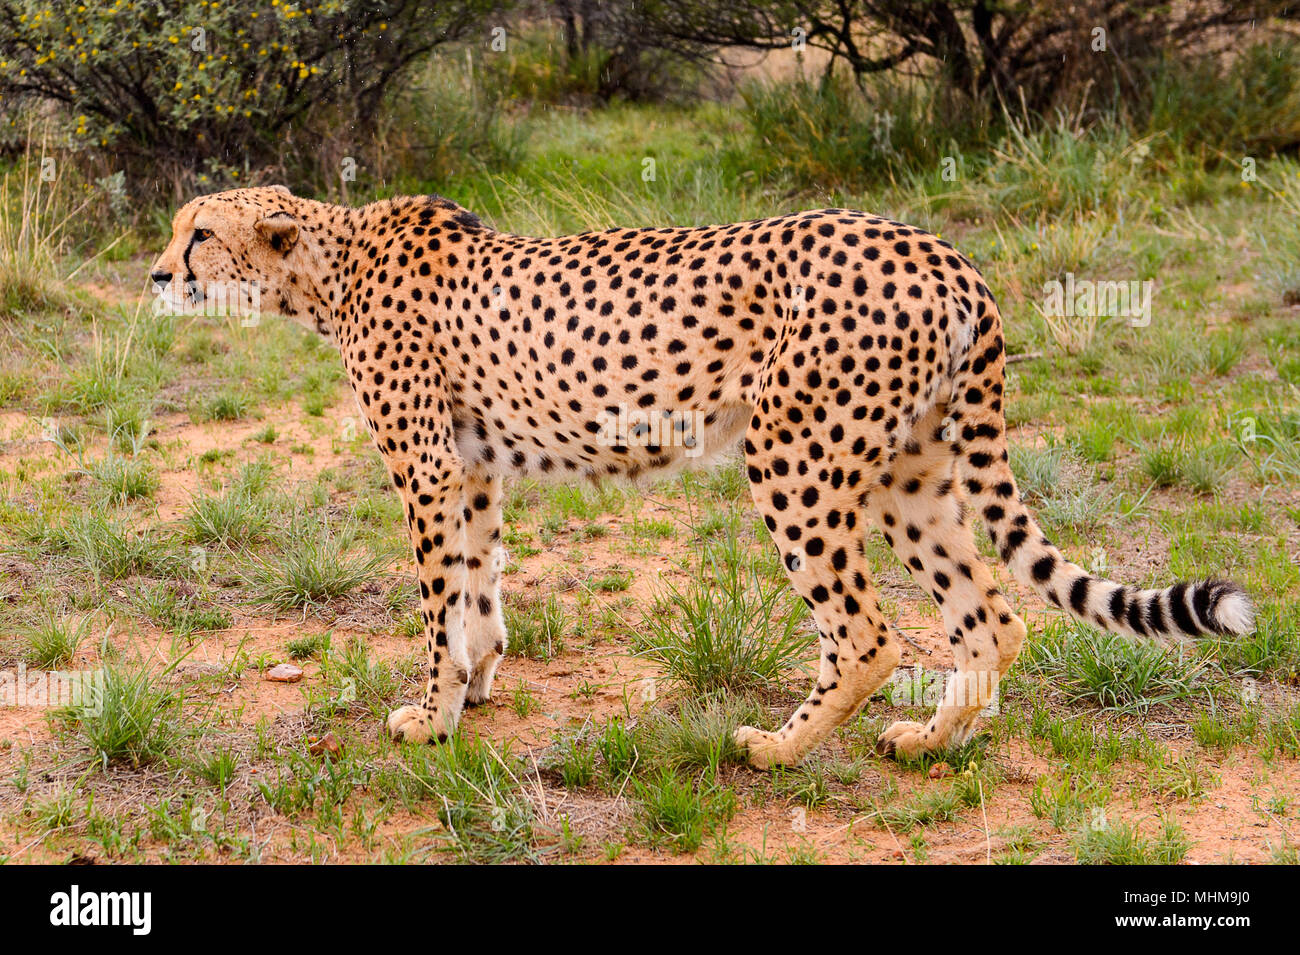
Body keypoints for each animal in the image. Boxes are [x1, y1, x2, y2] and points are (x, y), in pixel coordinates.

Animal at [149, 185, 1255, 769]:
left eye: (199, 233)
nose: (156, 273)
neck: (326, 271)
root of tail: (940, 251)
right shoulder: (472, 465)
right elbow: (479, 584)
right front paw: (483, 678)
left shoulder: (425, 469)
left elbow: (435, 605)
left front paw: (433, 712)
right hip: (913, 468)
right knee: (992, 613)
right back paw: (932, 742)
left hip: (795, 457)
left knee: (866, 630)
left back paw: (777, 746)